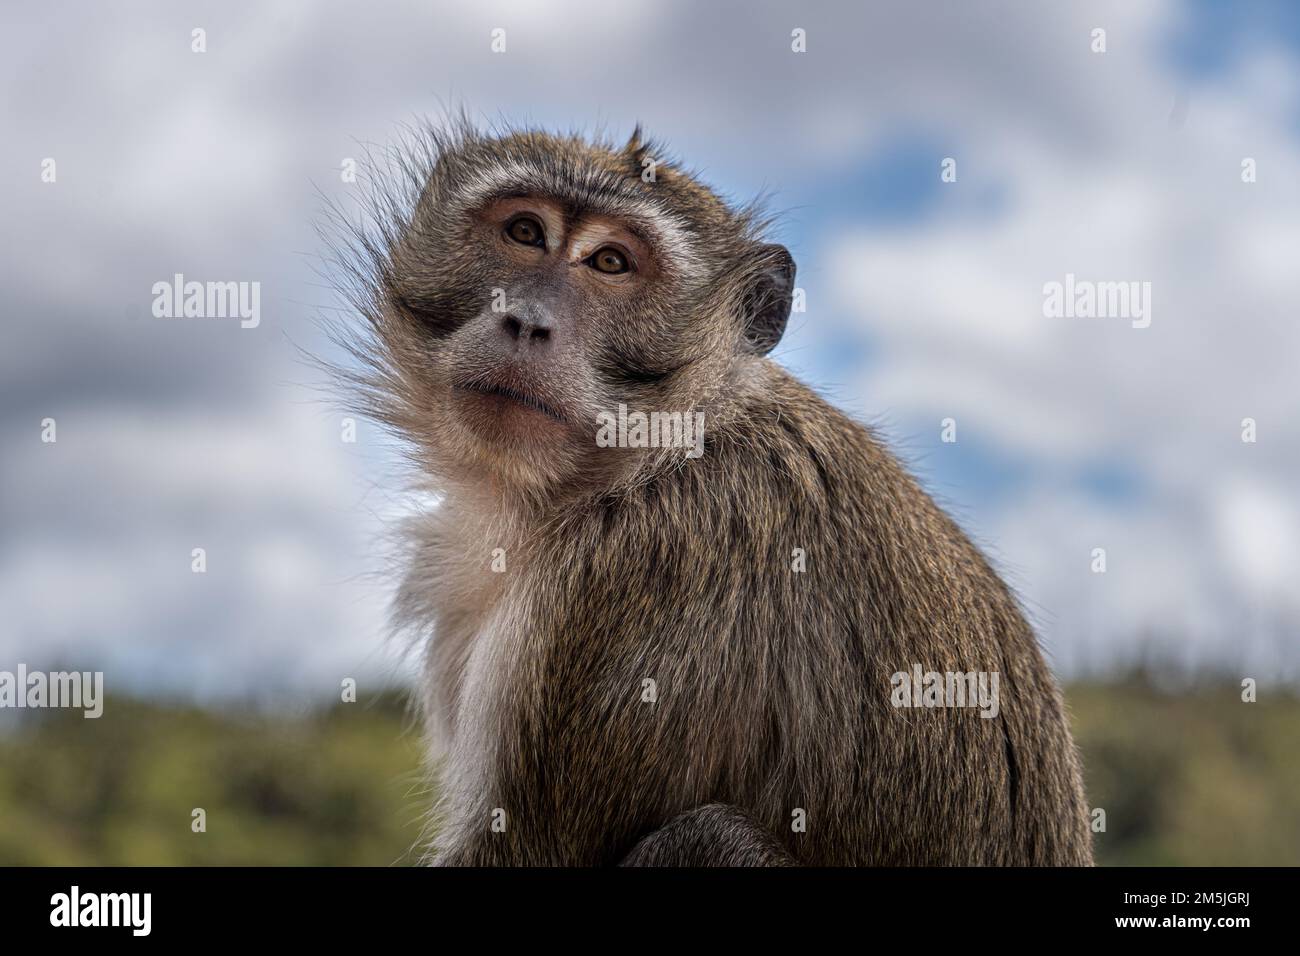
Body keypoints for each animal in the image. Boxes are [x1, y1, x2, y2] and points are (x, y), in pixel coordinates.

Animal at [325, 116, 1093, 866]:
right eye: (524, 232)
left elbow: (525, 851)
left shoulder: (639, 566)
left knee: (706, 837)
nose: (528, 321)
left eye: (611, 263)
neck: (654, 454)